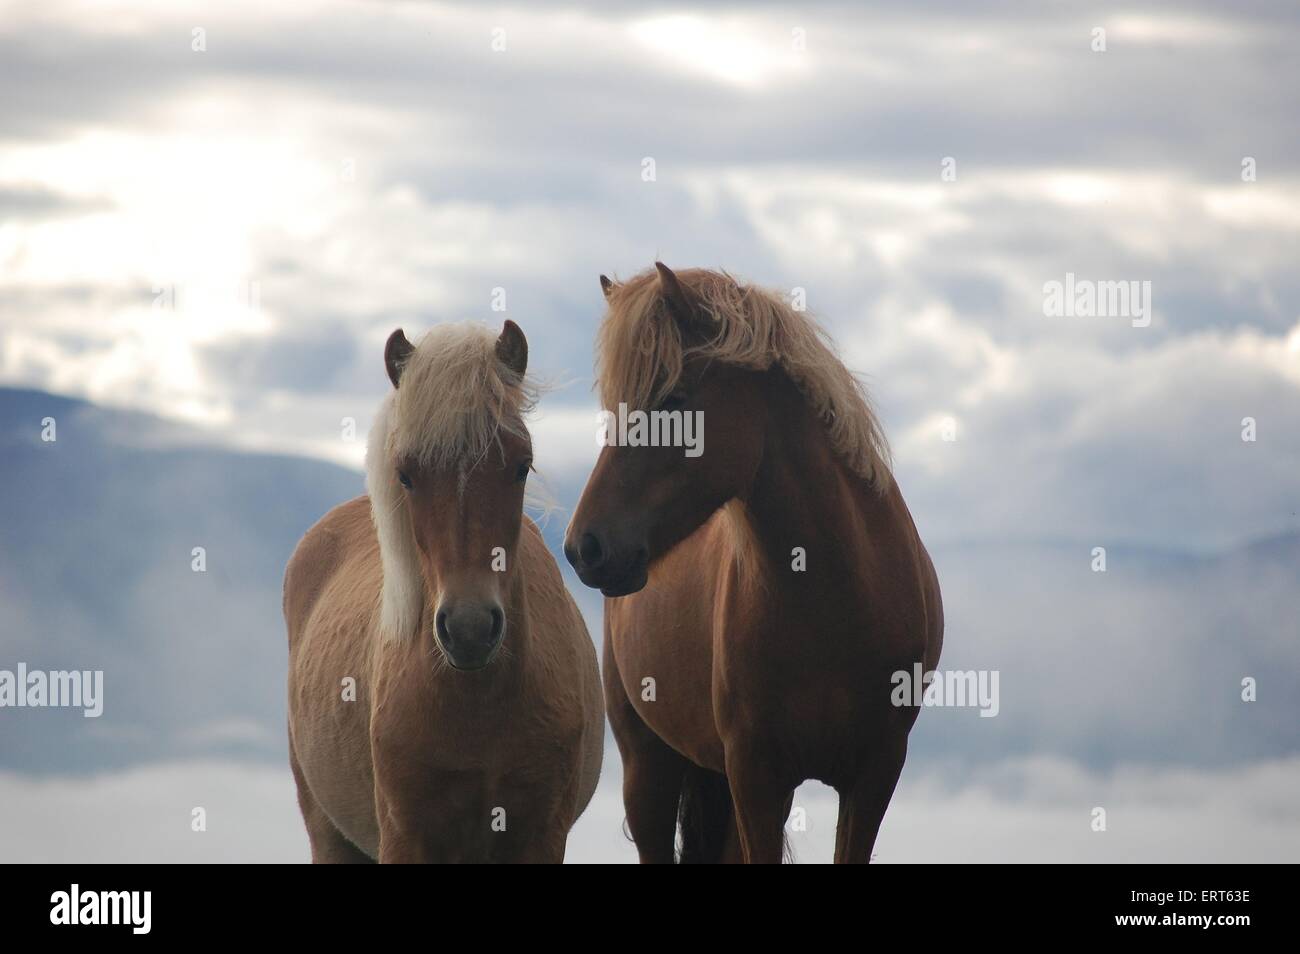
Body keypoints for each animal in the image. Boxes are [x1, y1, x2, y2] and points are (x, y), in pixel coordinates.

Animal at [284, 320, 604, 863]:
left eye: (521, 465)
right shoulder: (405, 837)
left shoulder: (542, 836)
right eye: (406, 475)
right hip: (327, 831)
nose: (469, 628)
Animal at [565, 264, 943, 863]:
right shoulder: (756, 776)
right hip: (648, 771)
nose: (585, 547)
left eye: (674, 400)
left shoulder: (874, 775)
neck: (836, 599)